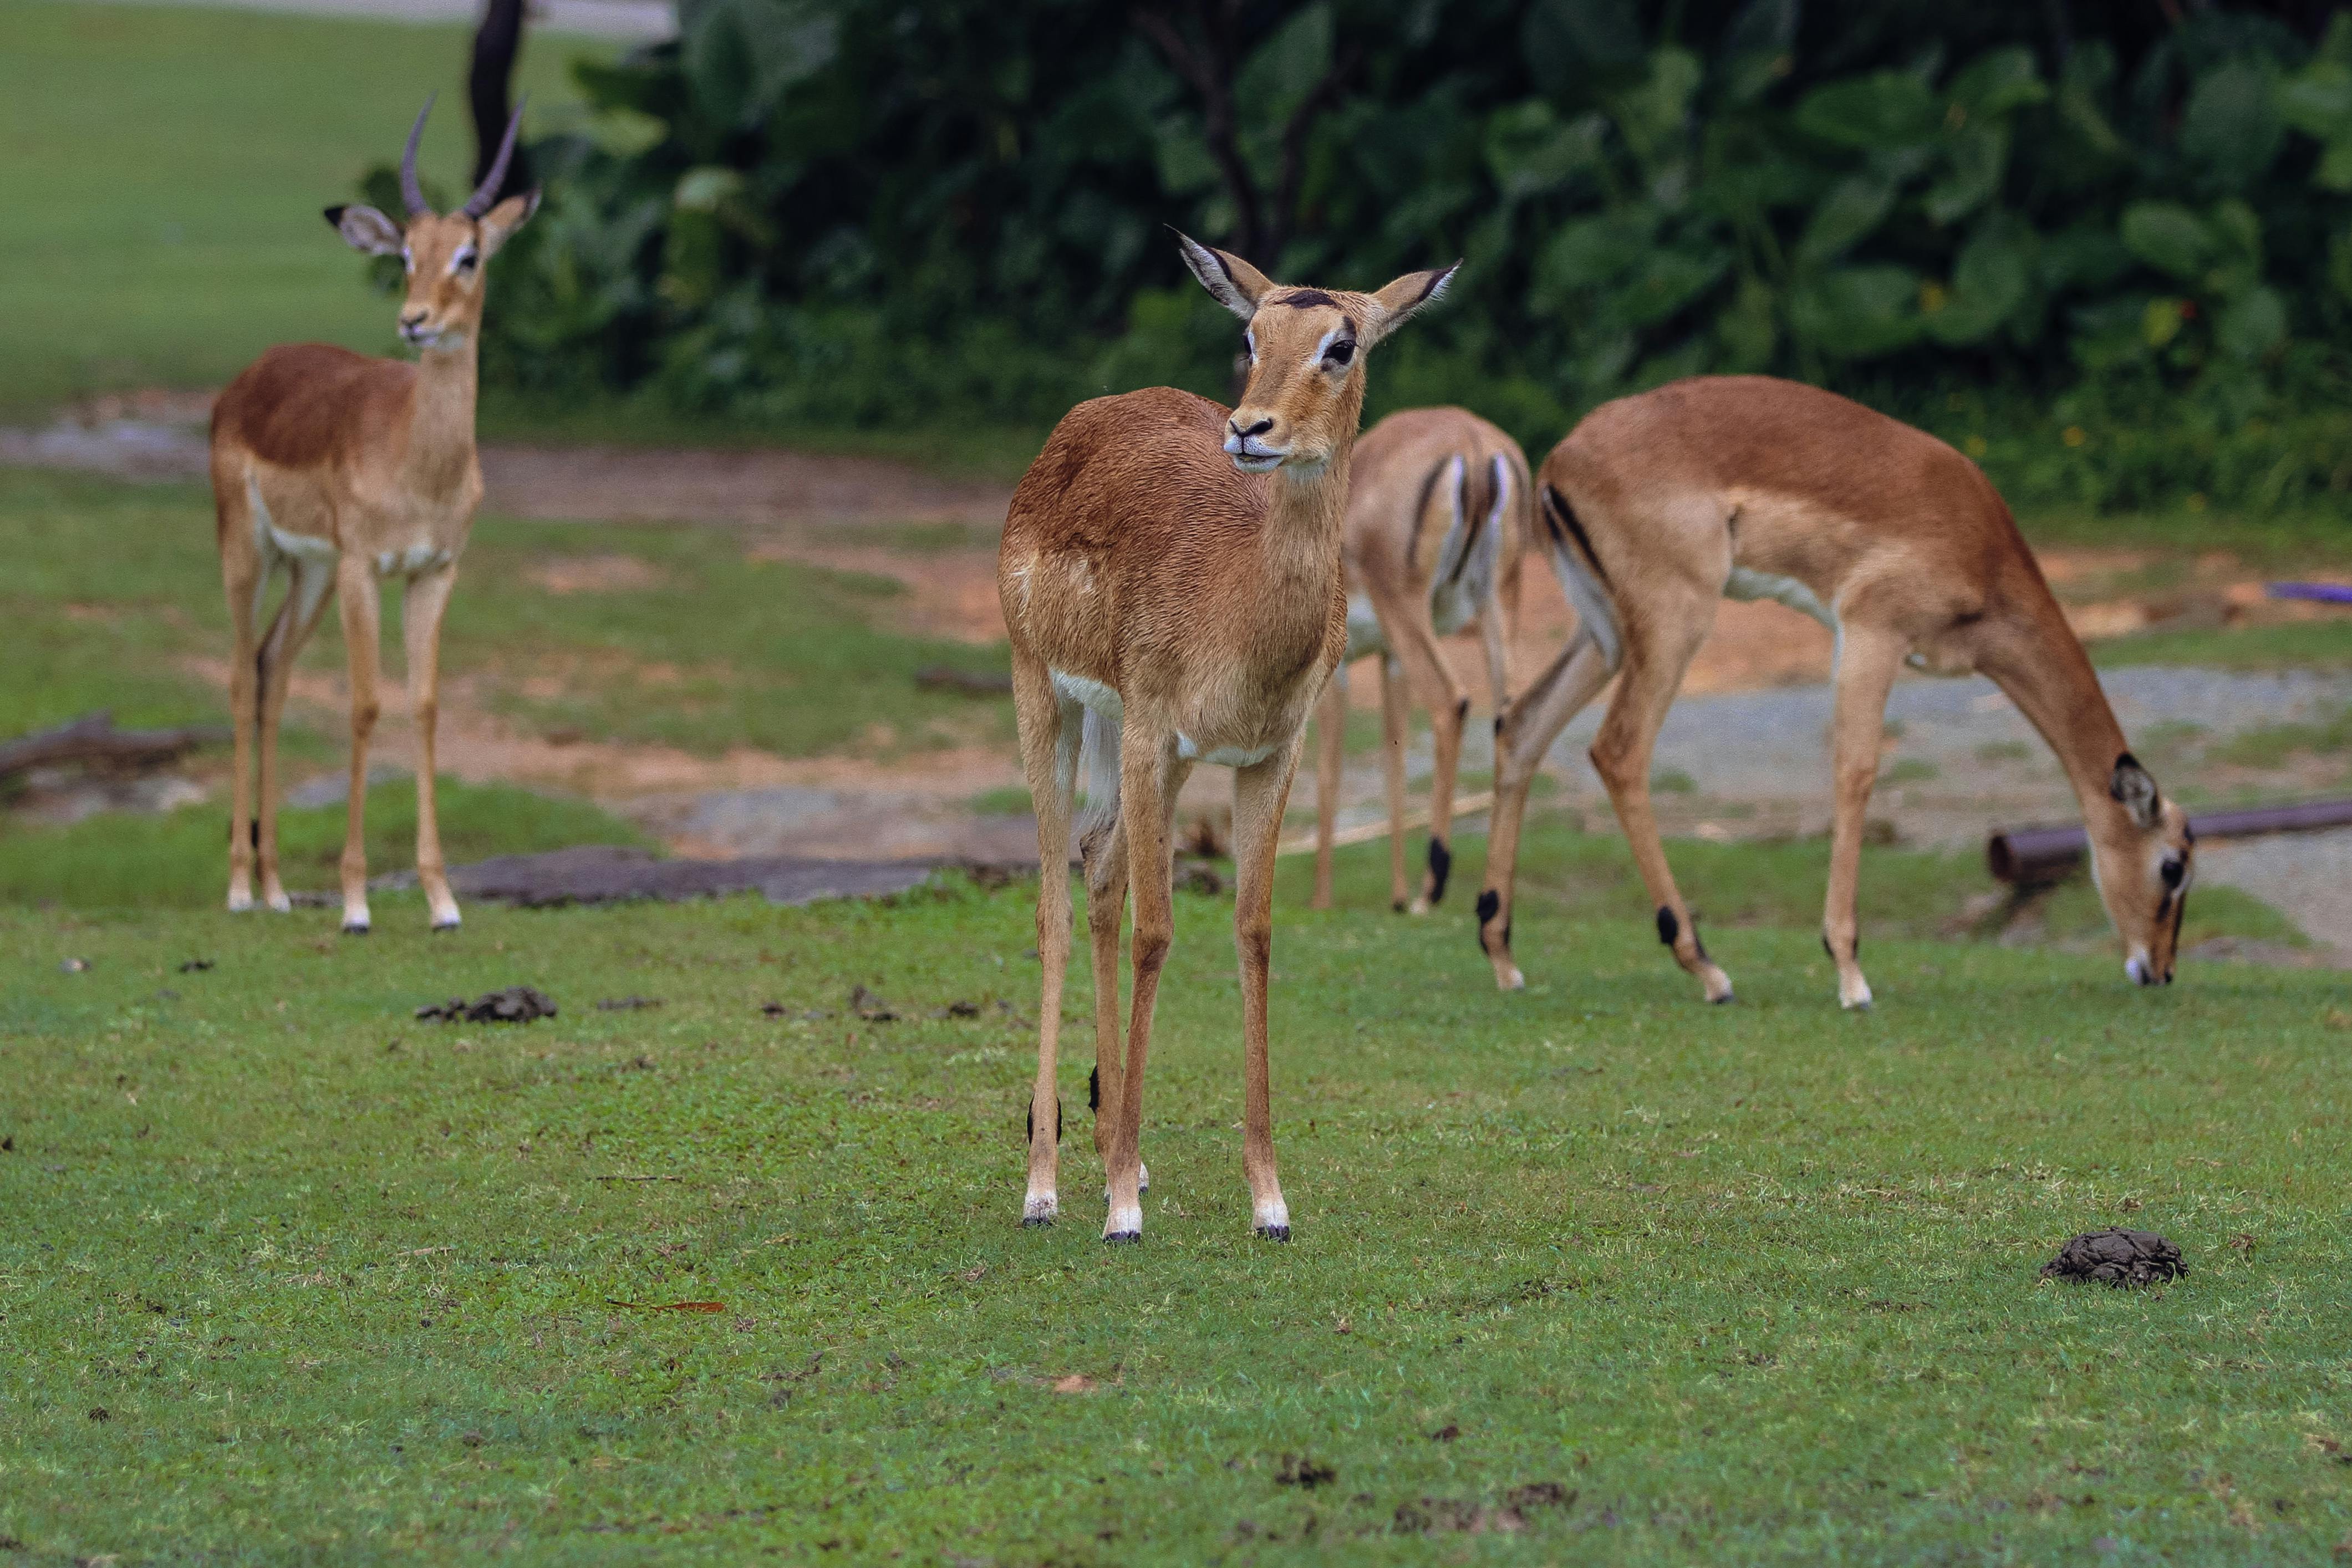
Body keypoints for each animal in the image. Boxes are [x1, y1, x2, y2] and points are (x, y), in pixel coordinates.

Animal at [210, 96, 536, 934]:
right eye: (407, 253)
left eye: (469, 254)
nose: (414, 320)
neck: (418, 459)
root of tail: (252, 374)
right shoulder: (365, 569)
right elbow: (363, 706)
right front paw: (357, 903)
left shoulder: (434, 573)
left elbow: (422, 707)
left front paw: (442, 899)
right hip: (249, 552)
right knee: (238, 677)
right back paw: (238, 889)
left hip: (311, 571)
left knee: (273, 669)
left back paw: (277, 887)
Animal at [998, 233, 1455, 1242]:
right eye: (1250, 335)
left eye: (1341, 344)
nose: (1251, 429)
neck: (1237, 614)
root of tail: (1074, 425)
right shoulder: (1158, 737)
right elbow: (1157, 931)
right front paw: (1123, 1212)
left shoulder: (1265, 756)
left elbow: (1252, 931)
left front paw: (1268, 1201)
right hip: (1044, 694)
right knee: (1054, 900)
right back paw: (1046, 1185)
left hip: (1117, 736)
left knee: (1096, 865)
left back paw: (1113, 1152)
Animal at [1307, 407, 1529, 916]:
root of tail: (1474, 443)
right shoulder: (1390, 660)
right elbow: (1396, 766)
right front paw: (1395, 897)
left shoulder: (1335, 670)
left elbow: (1329, 776)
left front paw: (1322, 903)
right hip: (1499, 600)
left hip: (1409, 611)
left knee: (1452, 702)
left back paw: (1433, 890)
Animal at [1470, 375, 2195, 1007]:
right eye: (2173, 865)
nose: (2159, 970)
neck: (1983, 552)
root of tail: (1563, 458)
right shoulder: (1871, 629)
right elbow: (1857, 770)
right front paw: (1851, 974)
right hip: (1676, 620)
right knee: (1618, 750)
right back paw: (1708, 969)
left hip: (1609, 634)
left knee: (1520, 723)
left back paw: (1504, 956)